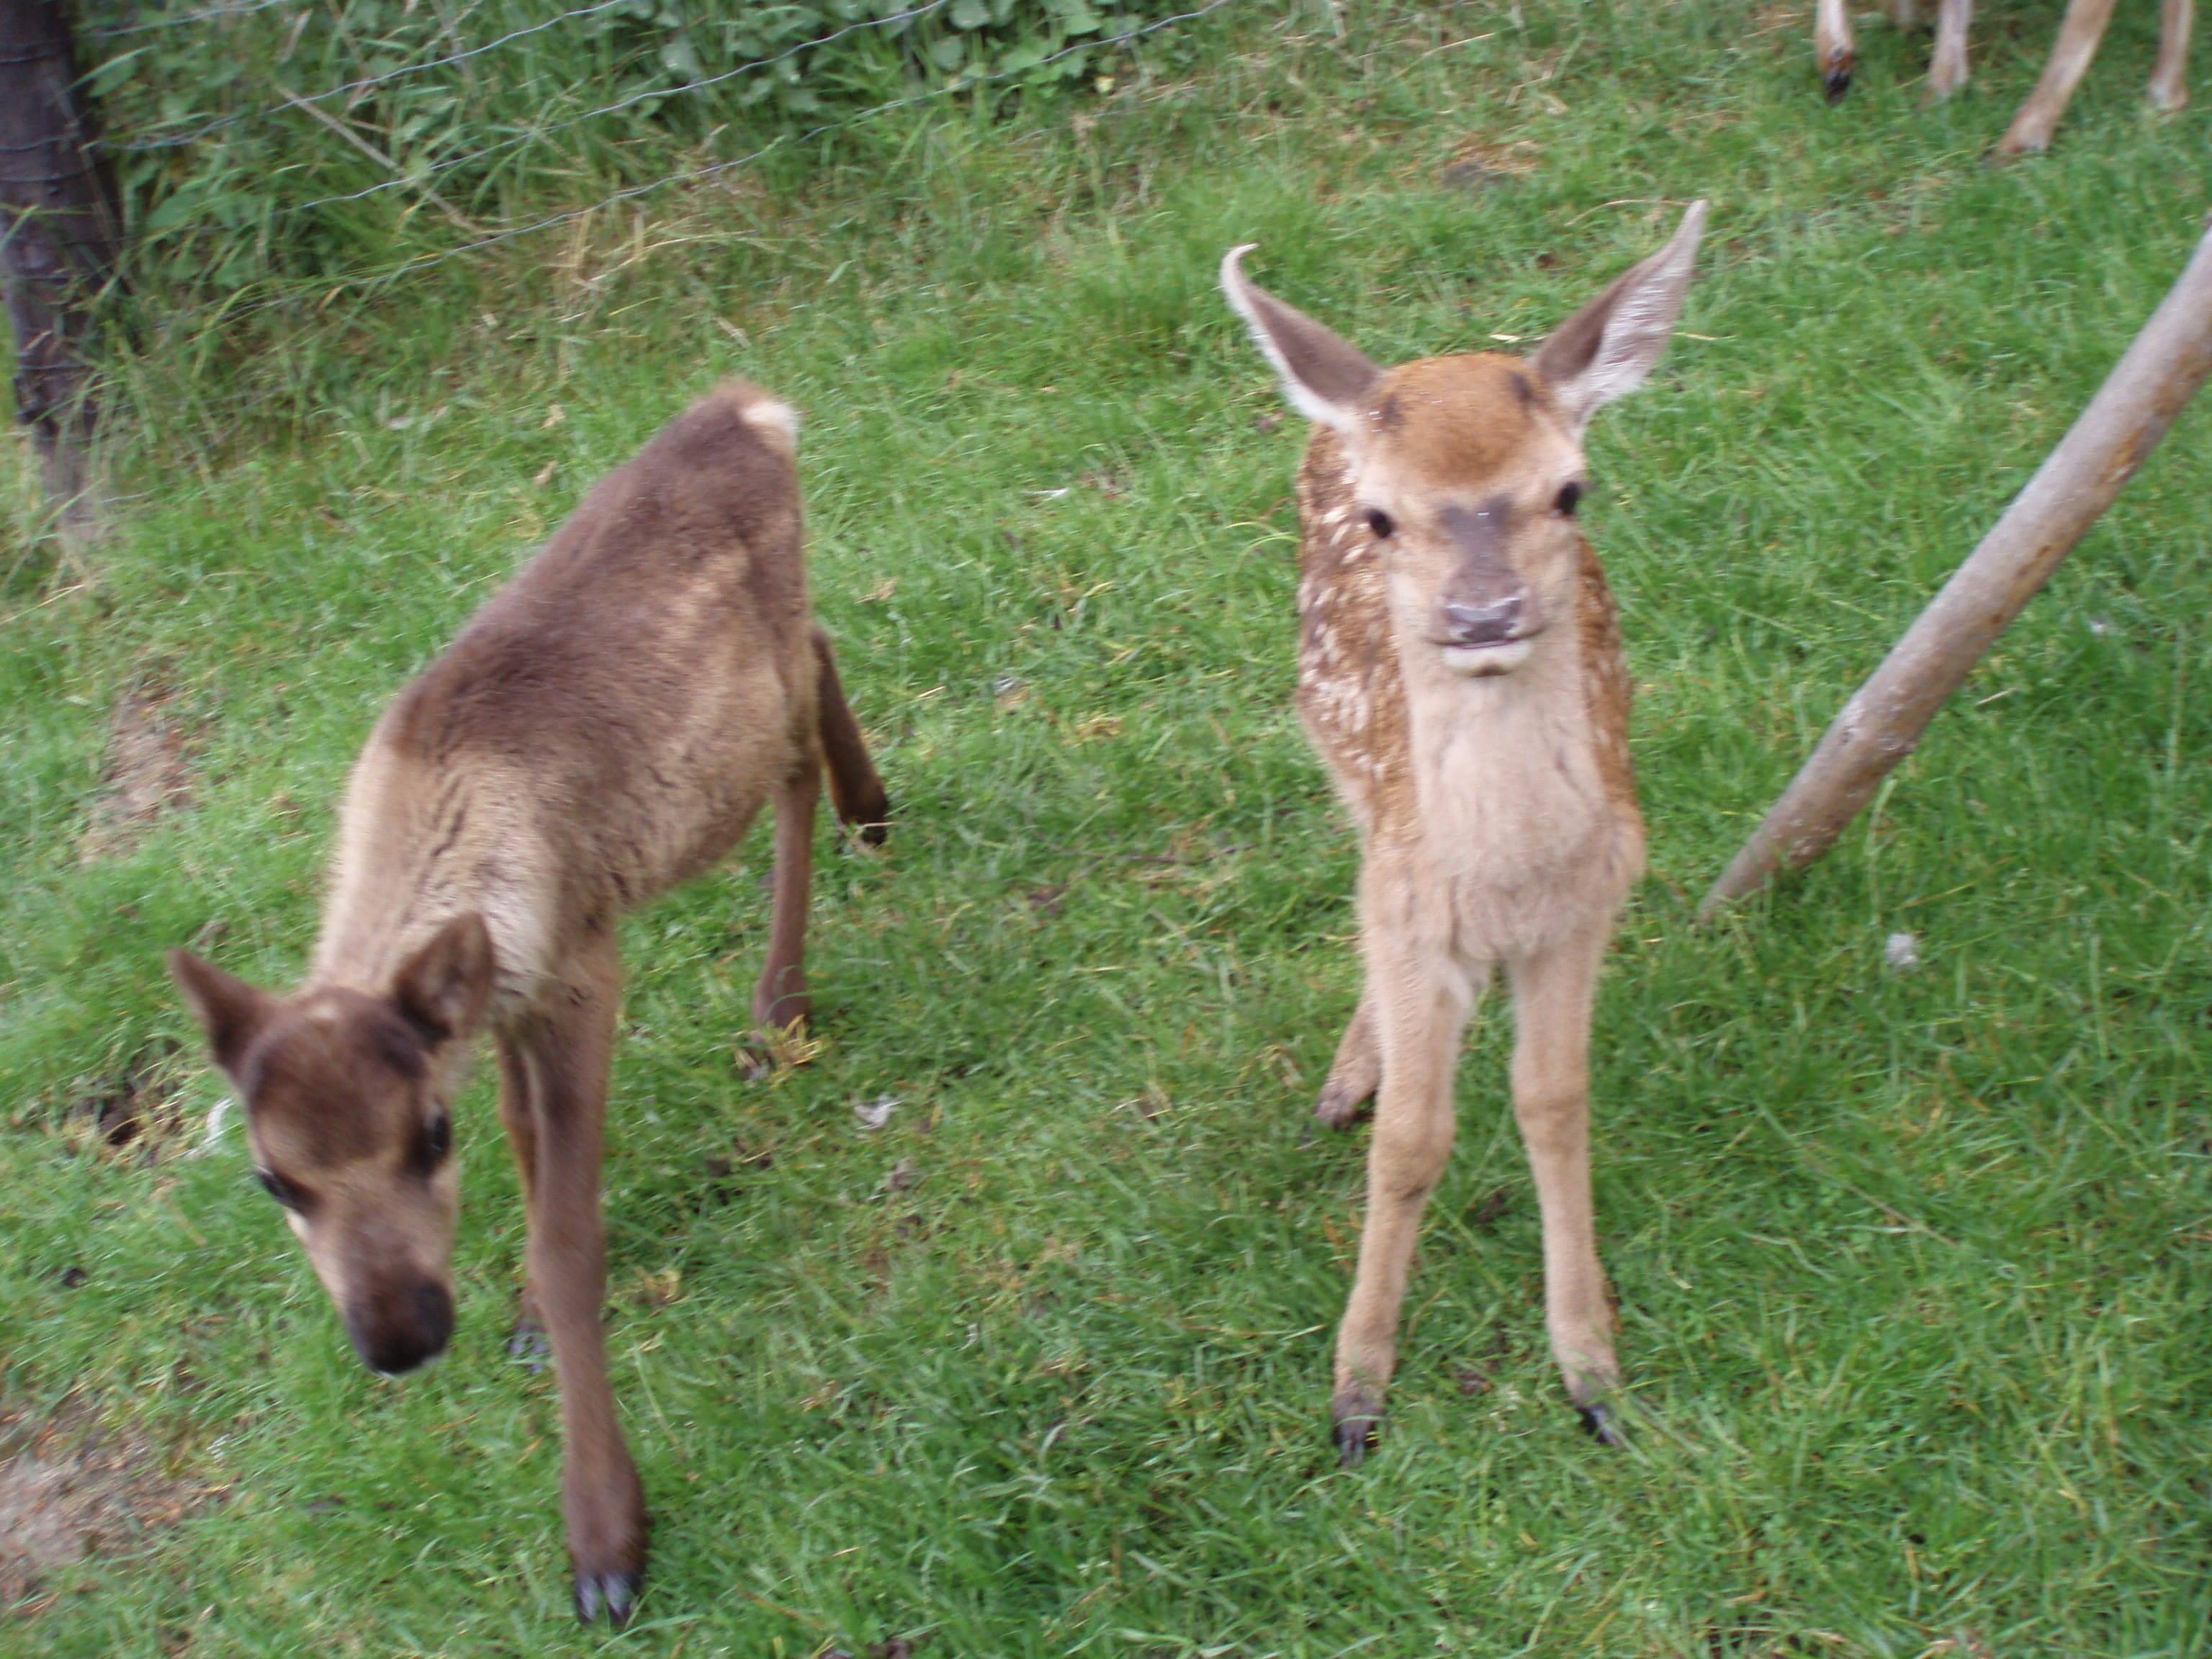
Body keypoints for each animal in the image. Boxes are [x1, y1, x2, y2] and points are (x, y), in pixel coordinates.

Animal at [167, 380, 889, 1623]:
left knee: (793, 751)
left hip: (758, 675)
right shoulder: (495, 1001)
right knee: (830, 646)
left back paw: (784, 993)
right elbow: (522, 1145)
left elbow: (566, 1237)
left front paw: (603, 1540)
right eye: (272, 1179)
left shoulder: (579, 962)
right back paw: (871, 811)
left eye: (425, 1134)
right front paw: (521, 1326)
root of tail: (752, 408)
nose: (402, 1336)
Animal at [1220, 202, 1706, 1464]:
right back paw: (1352, 1076)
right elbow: (1411, 1141)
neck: (1506, 884)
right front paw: (1356, 1391)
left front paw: (1593, 1373)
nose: (1483, 615)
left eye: (1571, 490)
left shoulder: (1596, 899)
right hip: (1337, 755)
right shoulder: (1409, 899)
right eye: (1383, 514)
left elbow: (1553, 1102)